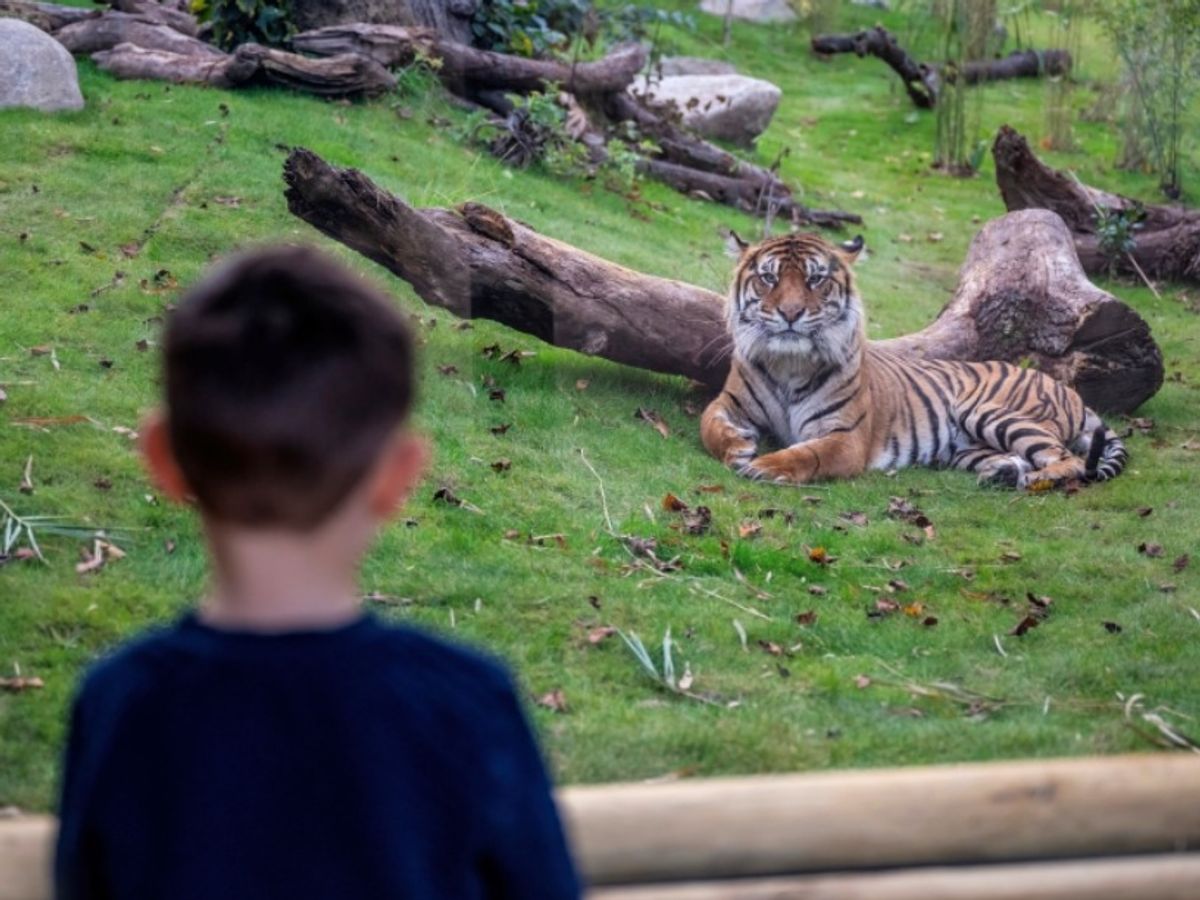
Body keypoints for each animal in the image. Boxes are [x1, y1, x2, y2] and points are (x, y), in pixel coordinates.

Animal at [700, 231, 1128, 489]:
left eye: (815, 279)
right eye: (769, 279)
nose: (790, 313)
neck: (790, 363)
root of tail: (1069, 391)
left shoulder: (845, 437)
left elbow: (808, 454)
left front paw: (765, 465)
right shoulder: (729, 403)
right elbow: (709, 424)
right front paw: (738, 446)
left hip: (989, 410)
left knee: (1067, 459)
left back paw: (1033, 480)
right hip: (966, 447)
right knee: (1021, 458)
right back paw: (1002, 473)